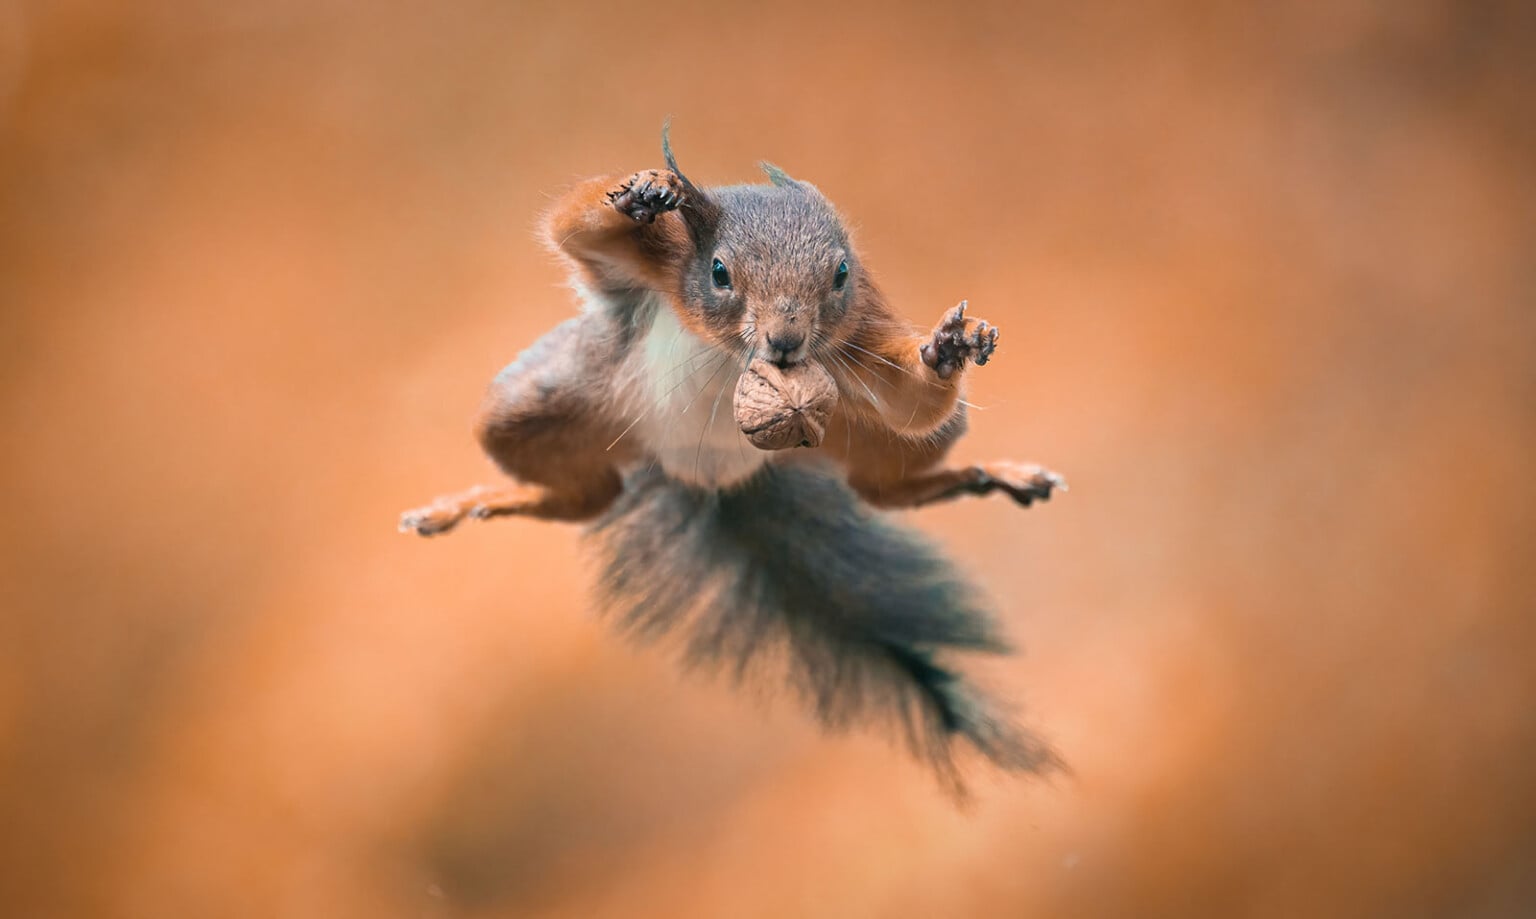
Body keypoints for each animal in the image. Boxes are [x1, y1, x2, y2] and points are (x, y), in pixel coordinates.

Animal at [400, 128, 1067, 794]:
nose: (786, 341)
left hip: (856, 435)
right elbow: (573, 226)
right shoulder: (654, 261)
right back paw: (477, 503)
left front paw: (948, 348)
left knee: (883, 486)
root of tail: (701, 475)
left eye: (841, 273)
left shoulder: (862, 332)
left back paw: (989, 476)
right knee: (585, 494)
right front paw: (645, 191)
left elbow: (912, 403)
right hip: (537, 406)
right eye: (719, 271)